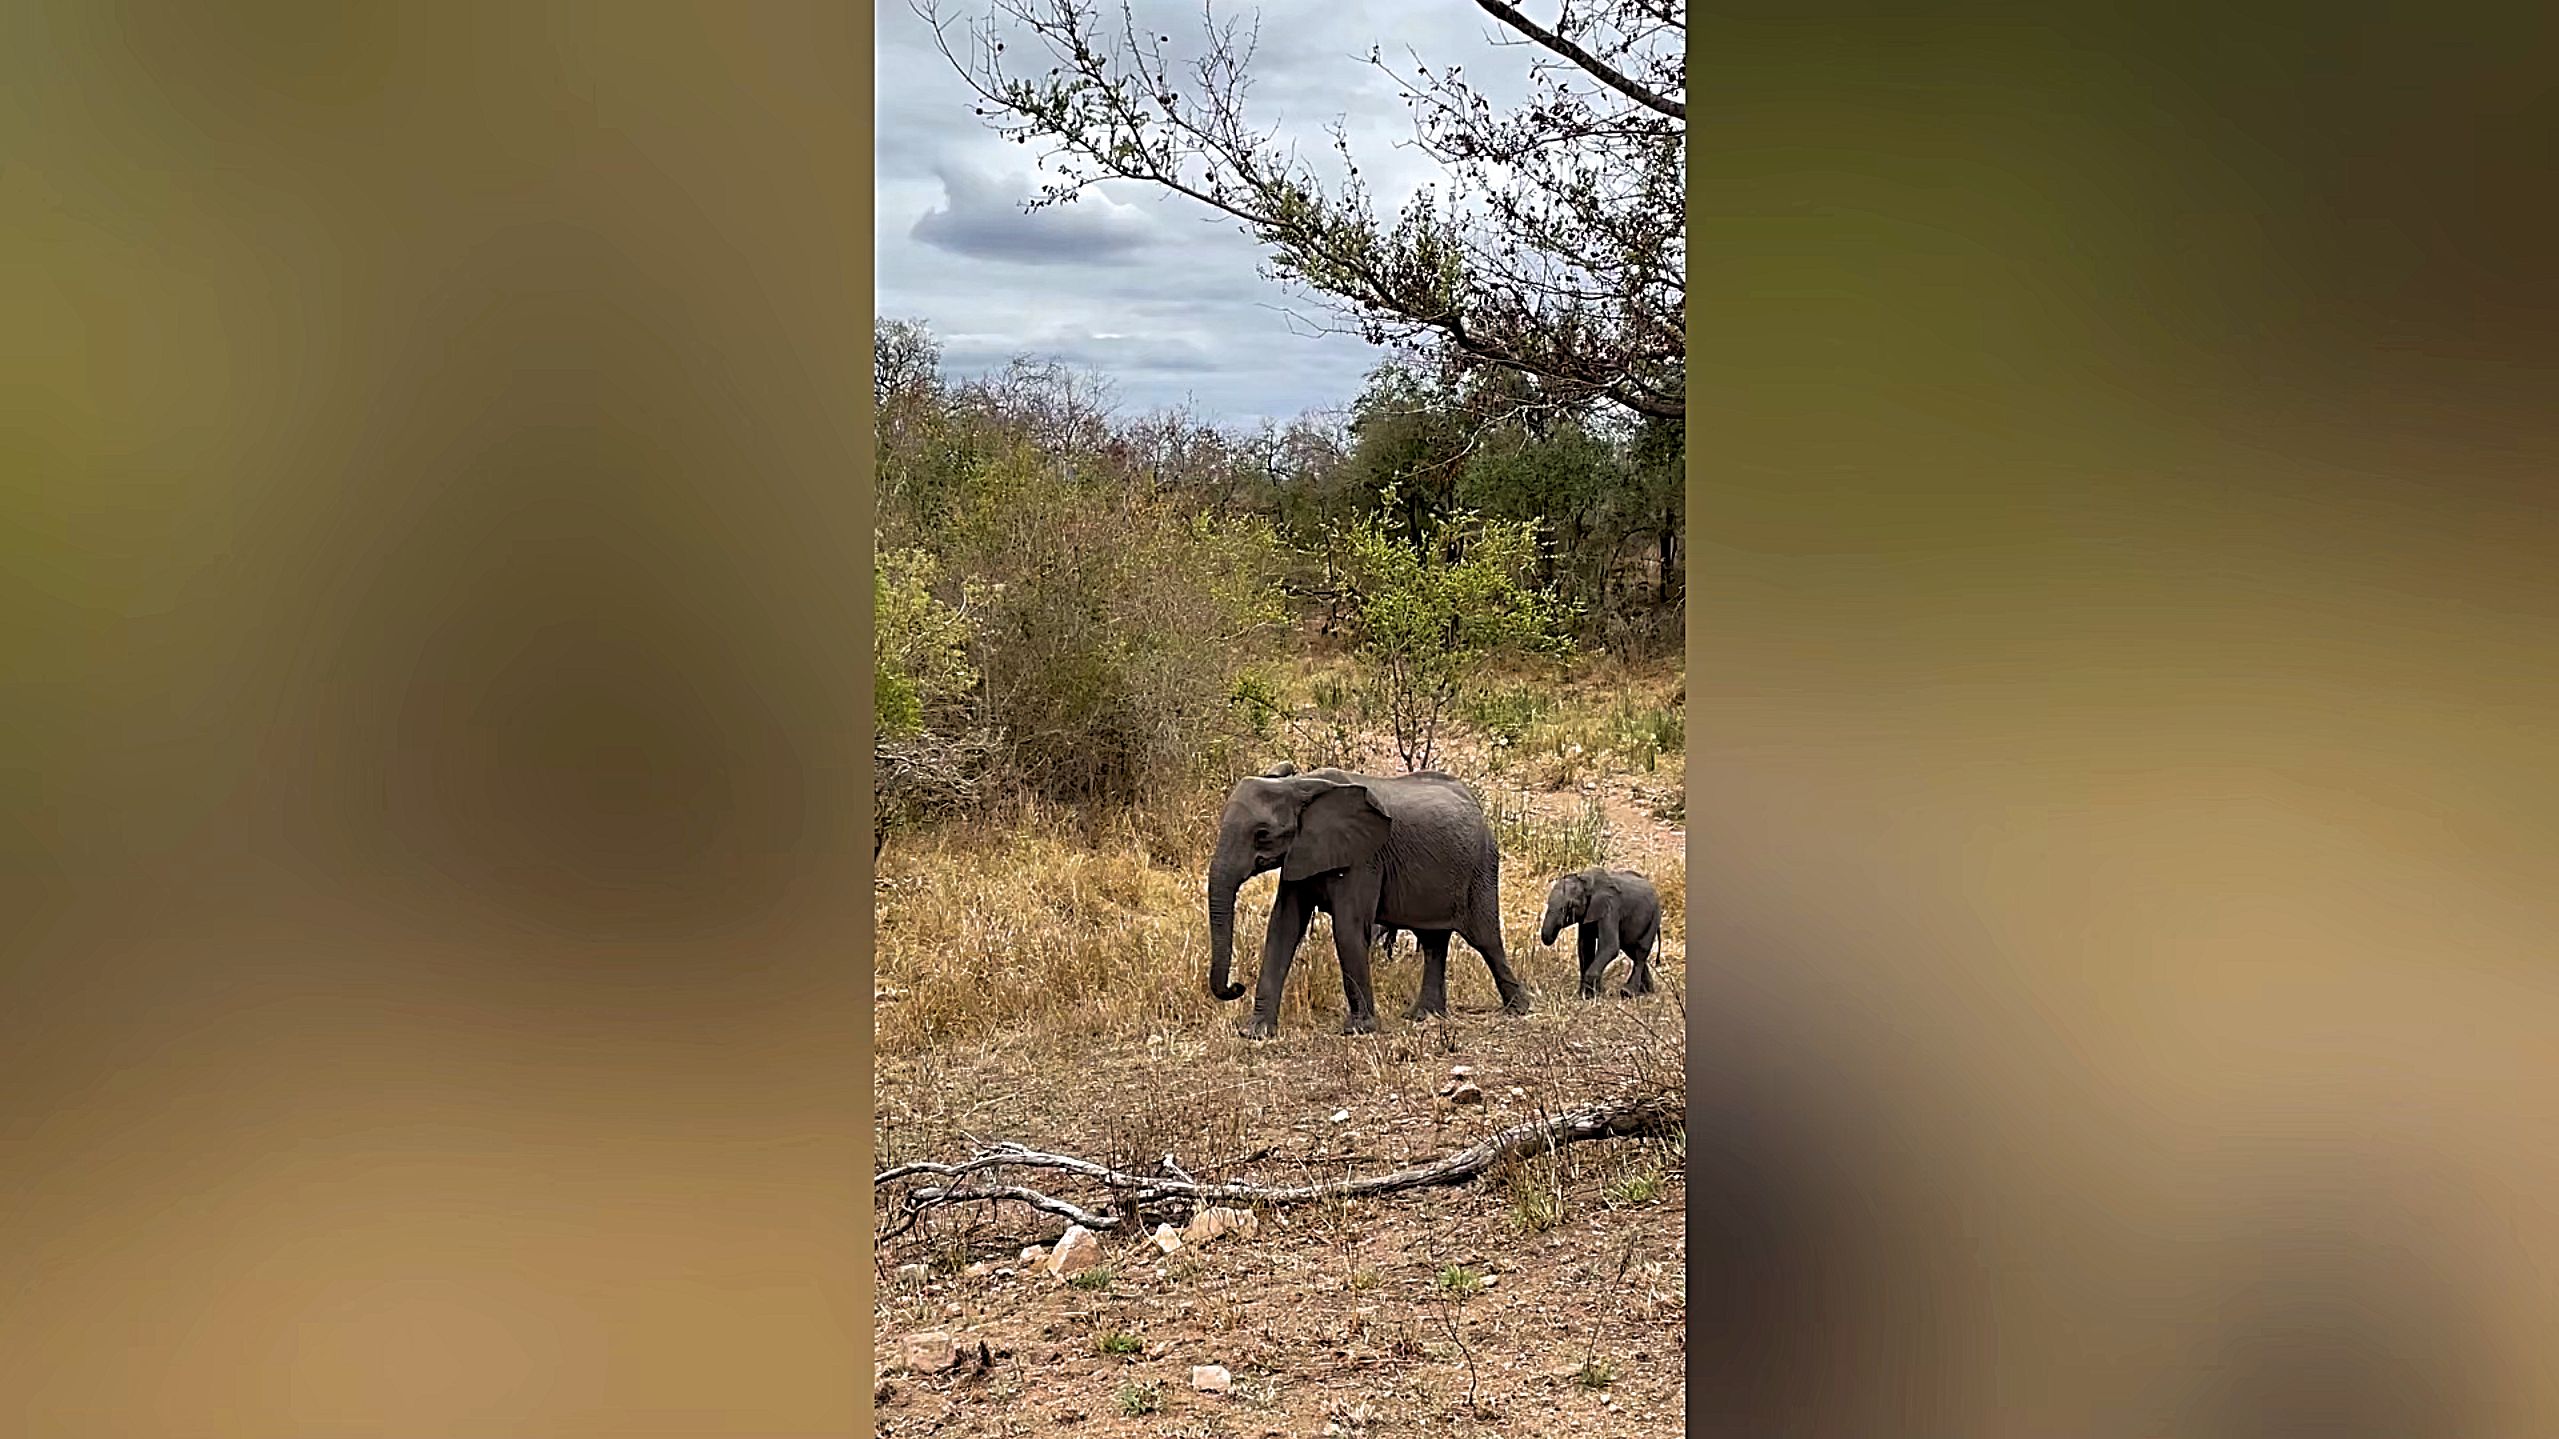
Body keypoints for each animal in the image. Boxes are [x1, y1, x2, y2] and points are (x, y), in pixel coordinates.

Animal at [1207, 766, 1530, 1039]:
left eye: (1262, 835)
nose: (1236, 987)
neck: (1299, 784)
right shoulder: (1299, 854)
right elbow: (1283, 927)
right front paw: (1255, 1032)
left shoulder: (1364, 858)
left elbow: (1347, 929)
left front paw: (1359, 1029)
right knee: (1432, 941)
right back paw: (1423, 1015)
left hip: (1481, 866)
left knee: (1484, 938)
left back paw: (1518, 1009)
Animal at [1538, 867, 1663, 999]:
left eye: (1571, 905)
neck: (1587, 882)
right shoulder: (1588, 913)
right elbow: (1585, 946)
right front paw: (1586, 995)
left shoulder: (1611, 908)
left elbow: (1610, 946)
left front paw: (1593, 994)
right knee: (1630, 950)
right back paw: (1647, 991)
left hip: (1654, 917)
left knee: (1640, 951)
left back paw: (1628, 993)